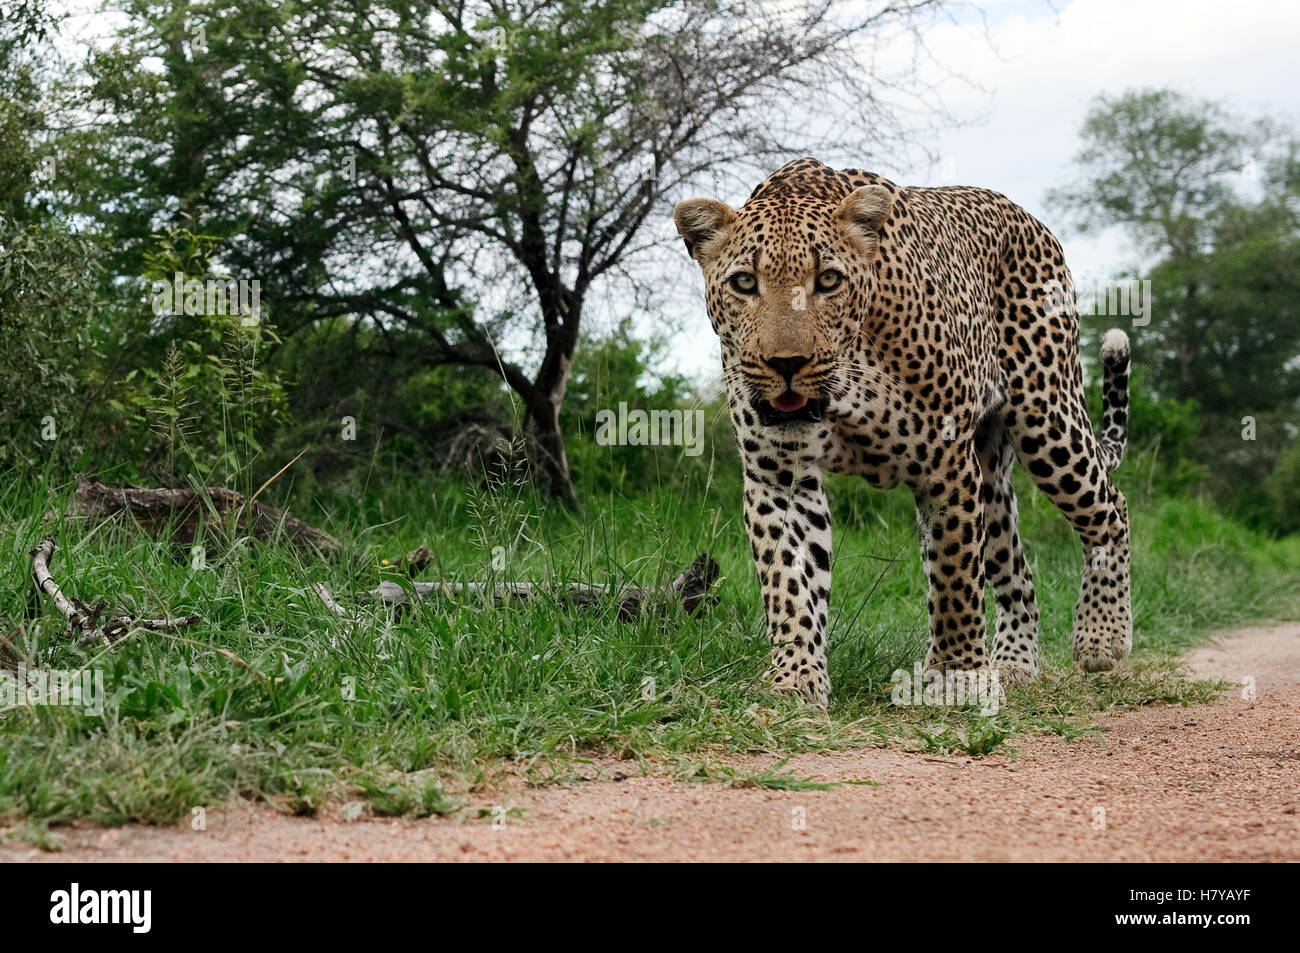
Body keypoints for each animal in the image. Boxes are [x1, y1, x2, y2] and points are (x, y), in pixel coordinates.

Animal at [674, 157, 1132, 706]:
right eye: (744, 283)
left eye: (828, 280)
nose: (787, 363)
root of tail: (1029, 217)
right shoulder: (777, 475)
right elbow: (789, 582)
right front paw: (794, 679)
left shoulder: (947, 462)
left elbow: (955, 578)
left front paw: (958, 678)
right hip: (993, 476)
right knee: (1017, 572)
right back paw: (1013, 665)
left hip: (1048, 418)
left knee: (1111, 510)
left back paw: (1101, 638)